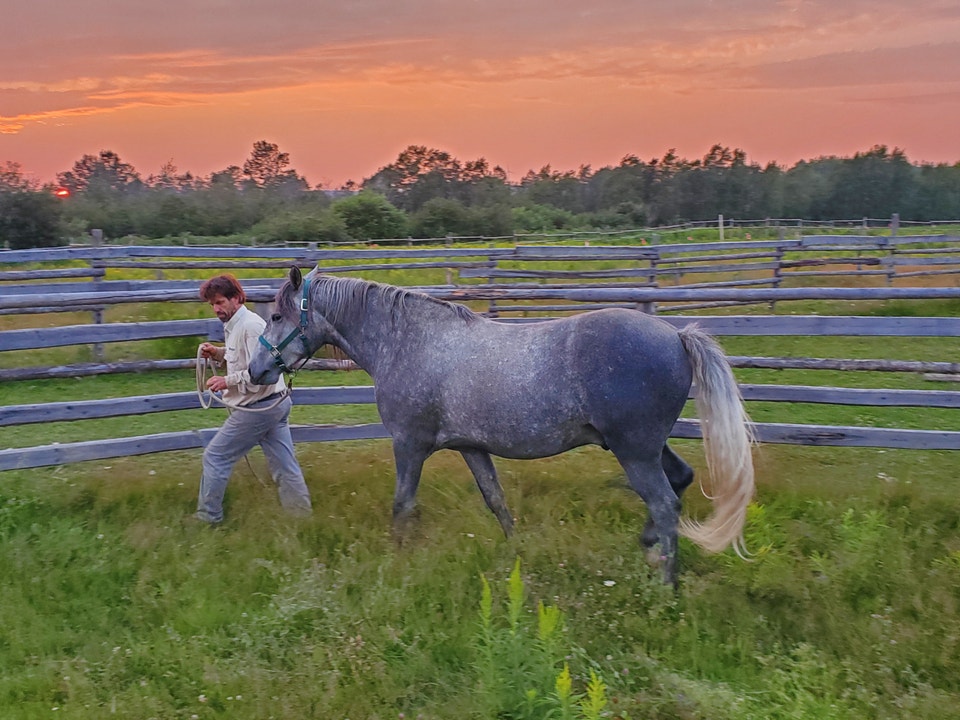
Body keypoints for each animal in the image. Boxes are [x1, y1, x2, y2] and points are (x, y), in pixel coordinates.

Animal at [249, 266, 755, 585]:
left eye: (275, 315)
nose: (257, 371)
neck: (409, 341)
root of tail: (676, 336)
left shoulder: (409, 445)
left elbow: (402, 505)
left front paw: (397, 560)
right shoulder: (471, 448)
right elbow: (497, 502)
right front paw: (517, 554)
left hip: (634, 450)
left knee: (667, 503)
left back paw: (666, 586)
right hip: (643, 447)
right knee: (680, 481)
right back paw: (650, 550)